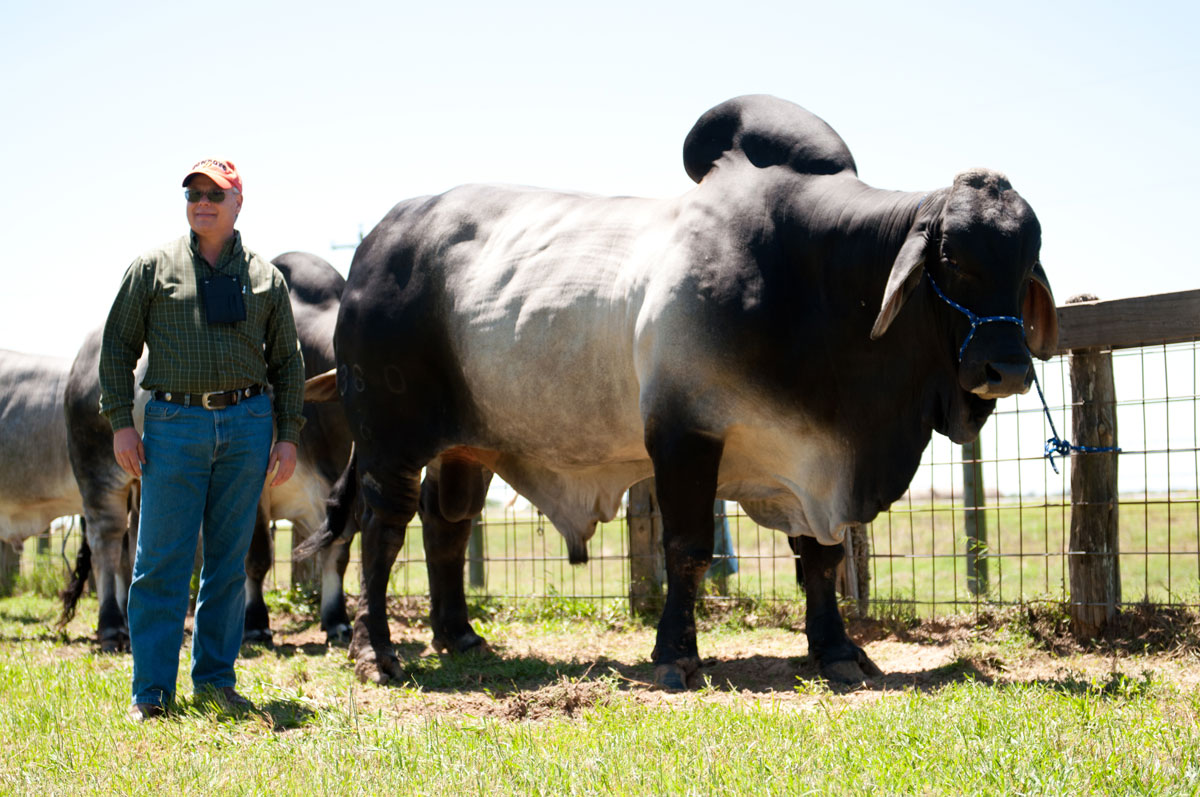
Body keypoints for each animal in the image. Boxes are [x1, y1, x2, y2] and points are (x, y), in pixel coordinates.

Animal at [303, 95, 1058, 688]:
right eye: (953, 257)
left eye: (1027, 261)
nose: (1008, 368)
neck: (815, 281)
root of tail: (375, 245)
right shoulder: (685, 434)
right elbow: (687, 549)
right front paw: (676, 657)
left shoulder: (808, 461)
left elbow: (823, 556)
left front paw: (838, 651)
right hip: (390, 437)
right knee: (383, 528)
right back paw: (375, 652)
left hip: (468, 445)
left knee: (447, 525)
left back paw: (458, 635)